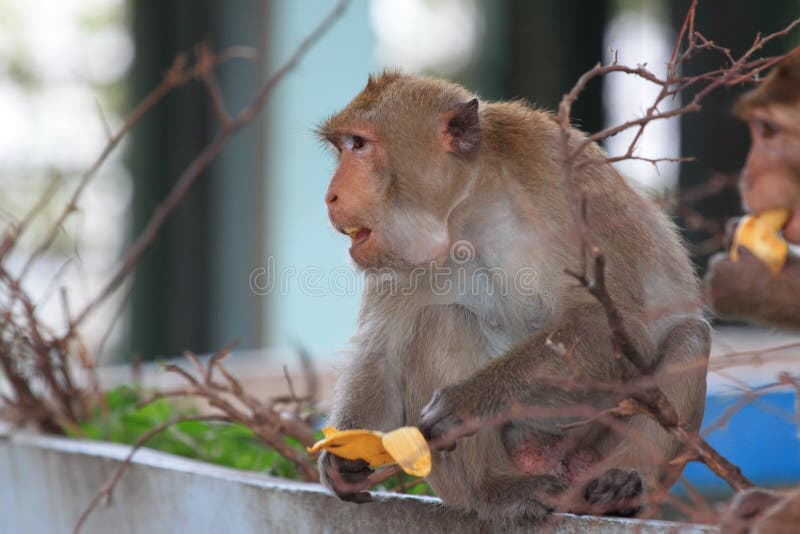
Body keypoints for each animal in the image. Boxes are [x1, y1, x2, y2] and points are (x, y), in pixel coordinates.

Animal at [316, 71, 710, 526]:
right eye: (342, 147)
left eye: (359, 145)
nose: (330, 196)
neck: (467, 208)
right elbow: (379, 353)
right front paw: (340, 458)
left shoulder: (563, 185)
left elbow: (613, 329)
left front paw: (468, 403)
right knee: (441, 323)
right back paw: (495, 488)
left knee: (690, 335)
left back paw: (623, 484)